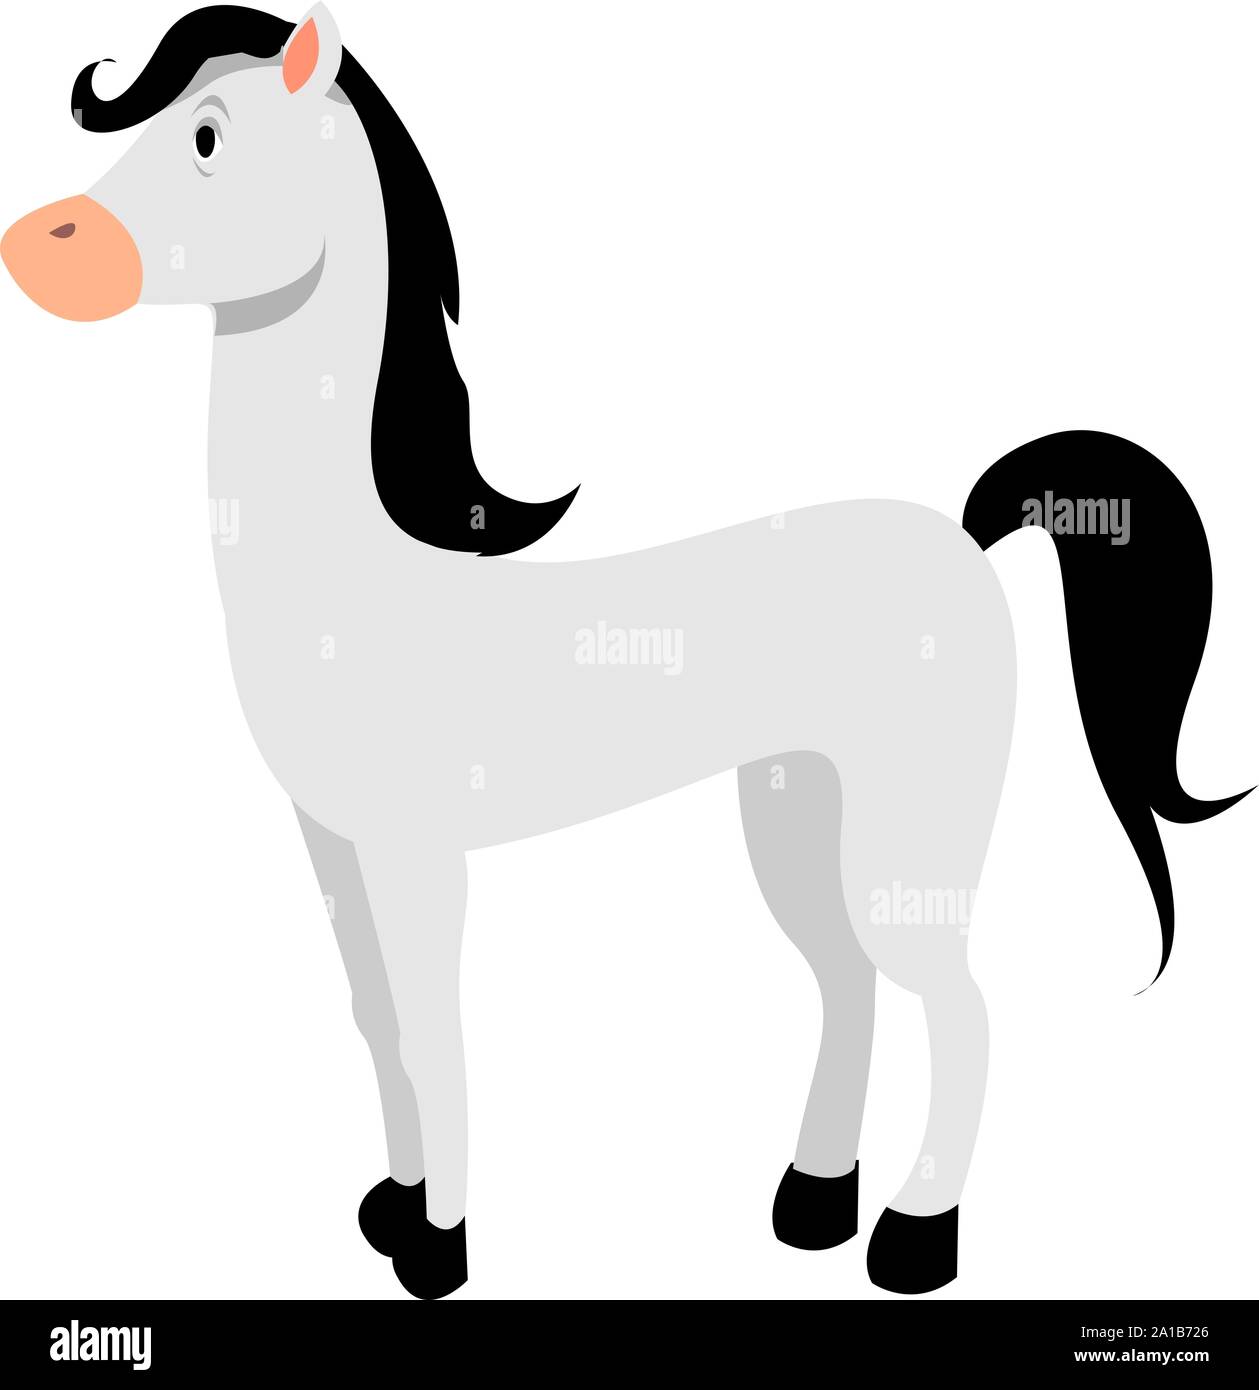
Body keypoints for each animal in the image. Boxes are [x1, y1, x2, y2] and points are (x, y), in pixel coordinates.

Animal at [2, 4, 1248, 1300]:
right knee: (845, 983)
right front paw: (392, 1212)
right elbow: (375, 1020)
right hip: (794, 810)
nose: (39, 243)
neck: (353, 582)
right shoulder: (330, 844)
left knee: (958, 1005)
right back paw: (811, 1204)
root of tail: (961, 535)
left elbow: (434, 1024)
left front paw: (439, 1247)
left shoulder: (415, 851)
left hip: (907, 839)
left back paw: (911, 1237)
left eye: (206, 134)